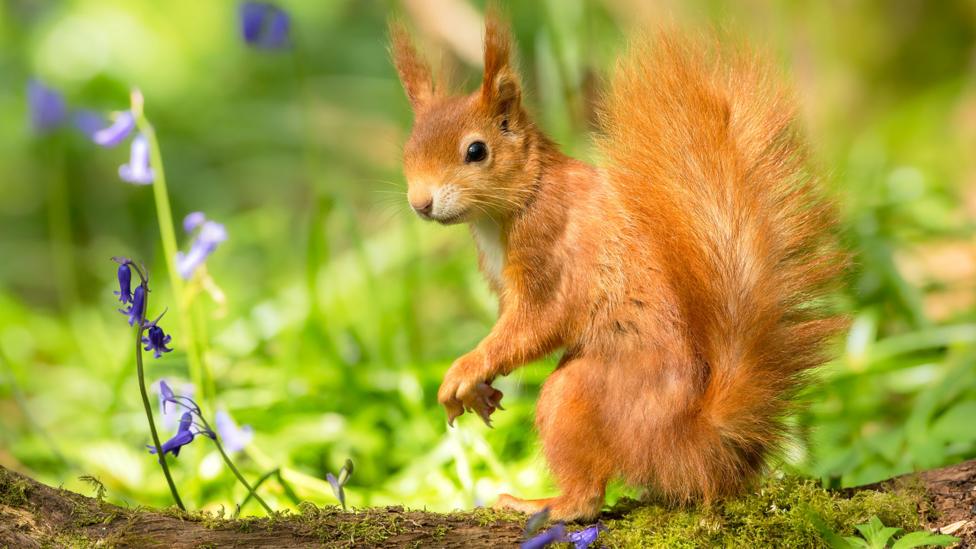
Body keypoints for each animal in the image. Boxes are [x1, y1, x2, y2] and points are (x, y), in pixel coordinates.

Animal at [390, 13, 846, 521]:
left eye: (476, 151)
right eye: (408, 150)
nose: (421, 203)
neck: (515, 203)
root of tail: (686, 441)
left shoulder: (551, 249)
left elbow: (539, 322)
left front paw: (464, 371)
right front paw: (480, 391)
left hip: (577, 394)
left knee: (587, 495)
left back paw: (544, 504)